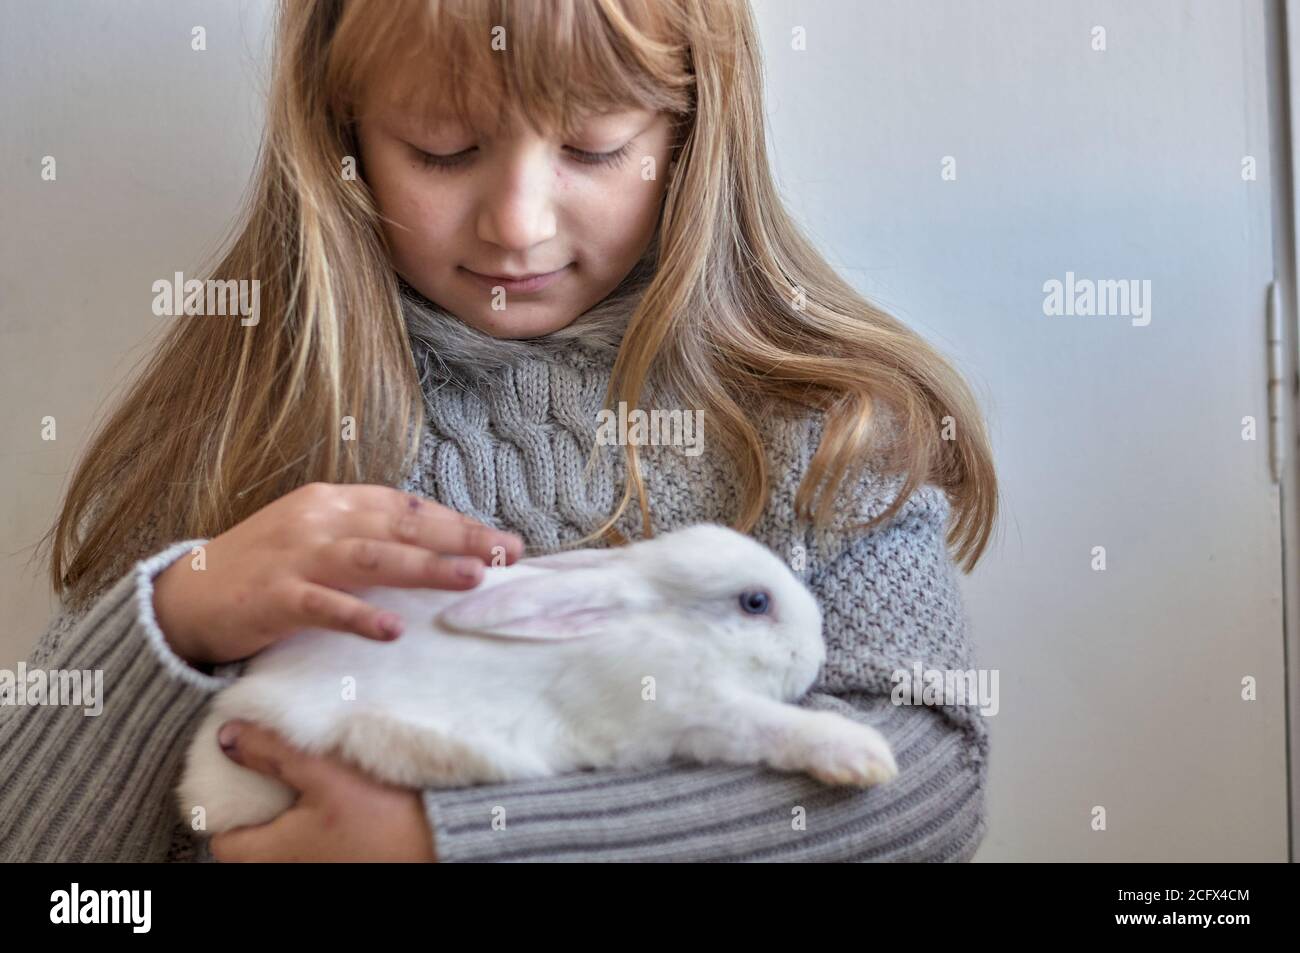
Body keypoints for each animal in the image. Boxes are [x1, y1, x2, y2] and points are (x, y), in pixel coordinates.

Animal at [177, 523, 898, 835]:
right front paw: (864, 757)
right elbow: (773, 727)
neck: (670, 630)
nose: (814, 654)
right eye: (754, 603)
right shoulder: (693, 712)